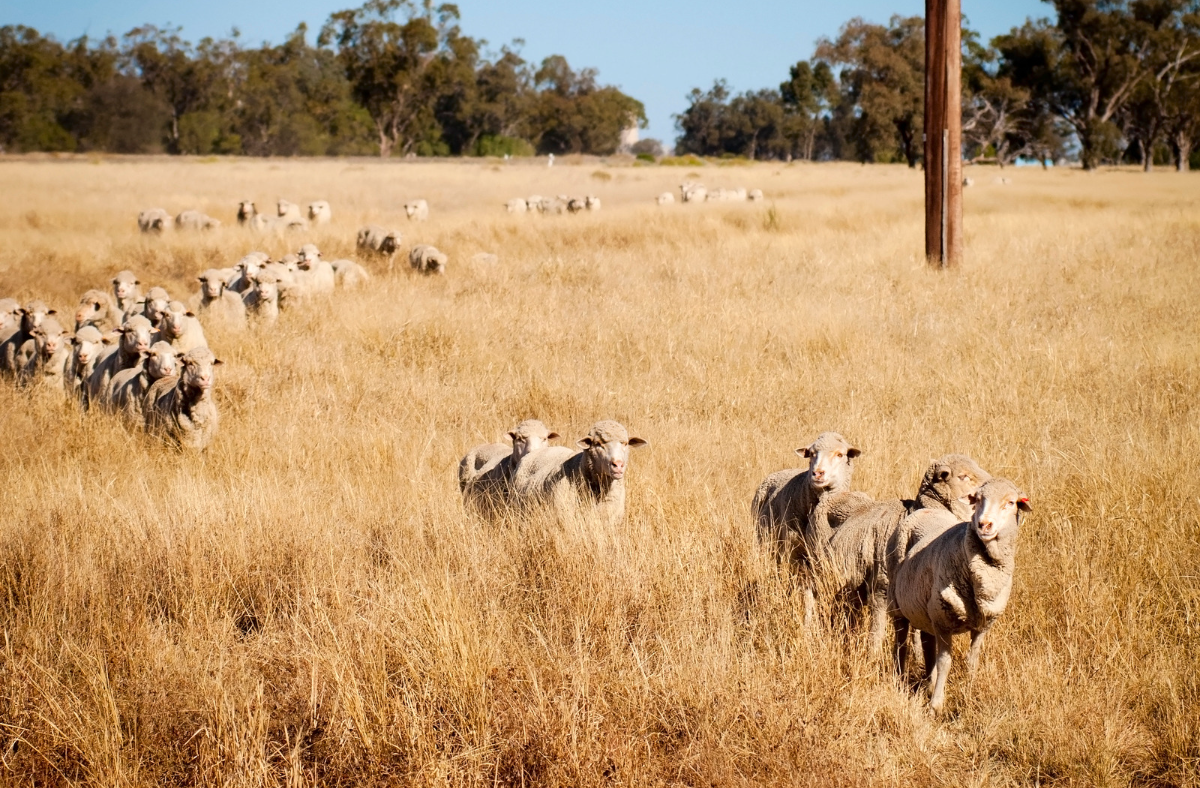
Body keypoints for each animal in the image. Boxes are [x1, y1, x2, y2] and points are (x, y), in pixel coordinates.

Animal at [812, 454, 991, 653]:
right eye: (963, 476)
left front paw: (918, 656)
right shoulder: (881, 587)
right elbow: (878, 628)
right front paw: (873, 655)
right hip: (820, 571)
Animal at [888, 478, 1031, 714]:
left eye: (1010, 502)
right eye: (978, 499)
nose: (984, 524)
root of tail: (924, 510)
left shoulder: (983, 624)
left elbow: (972, 661)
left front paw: (969, 690)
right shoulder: (944, 622)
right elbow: (945, 663)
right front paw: (936, 705)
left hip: (928, 609)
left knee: (927, 643)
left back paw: (929, 682)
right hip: (899, 602)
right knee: (901, 642)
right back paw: (900, 676)